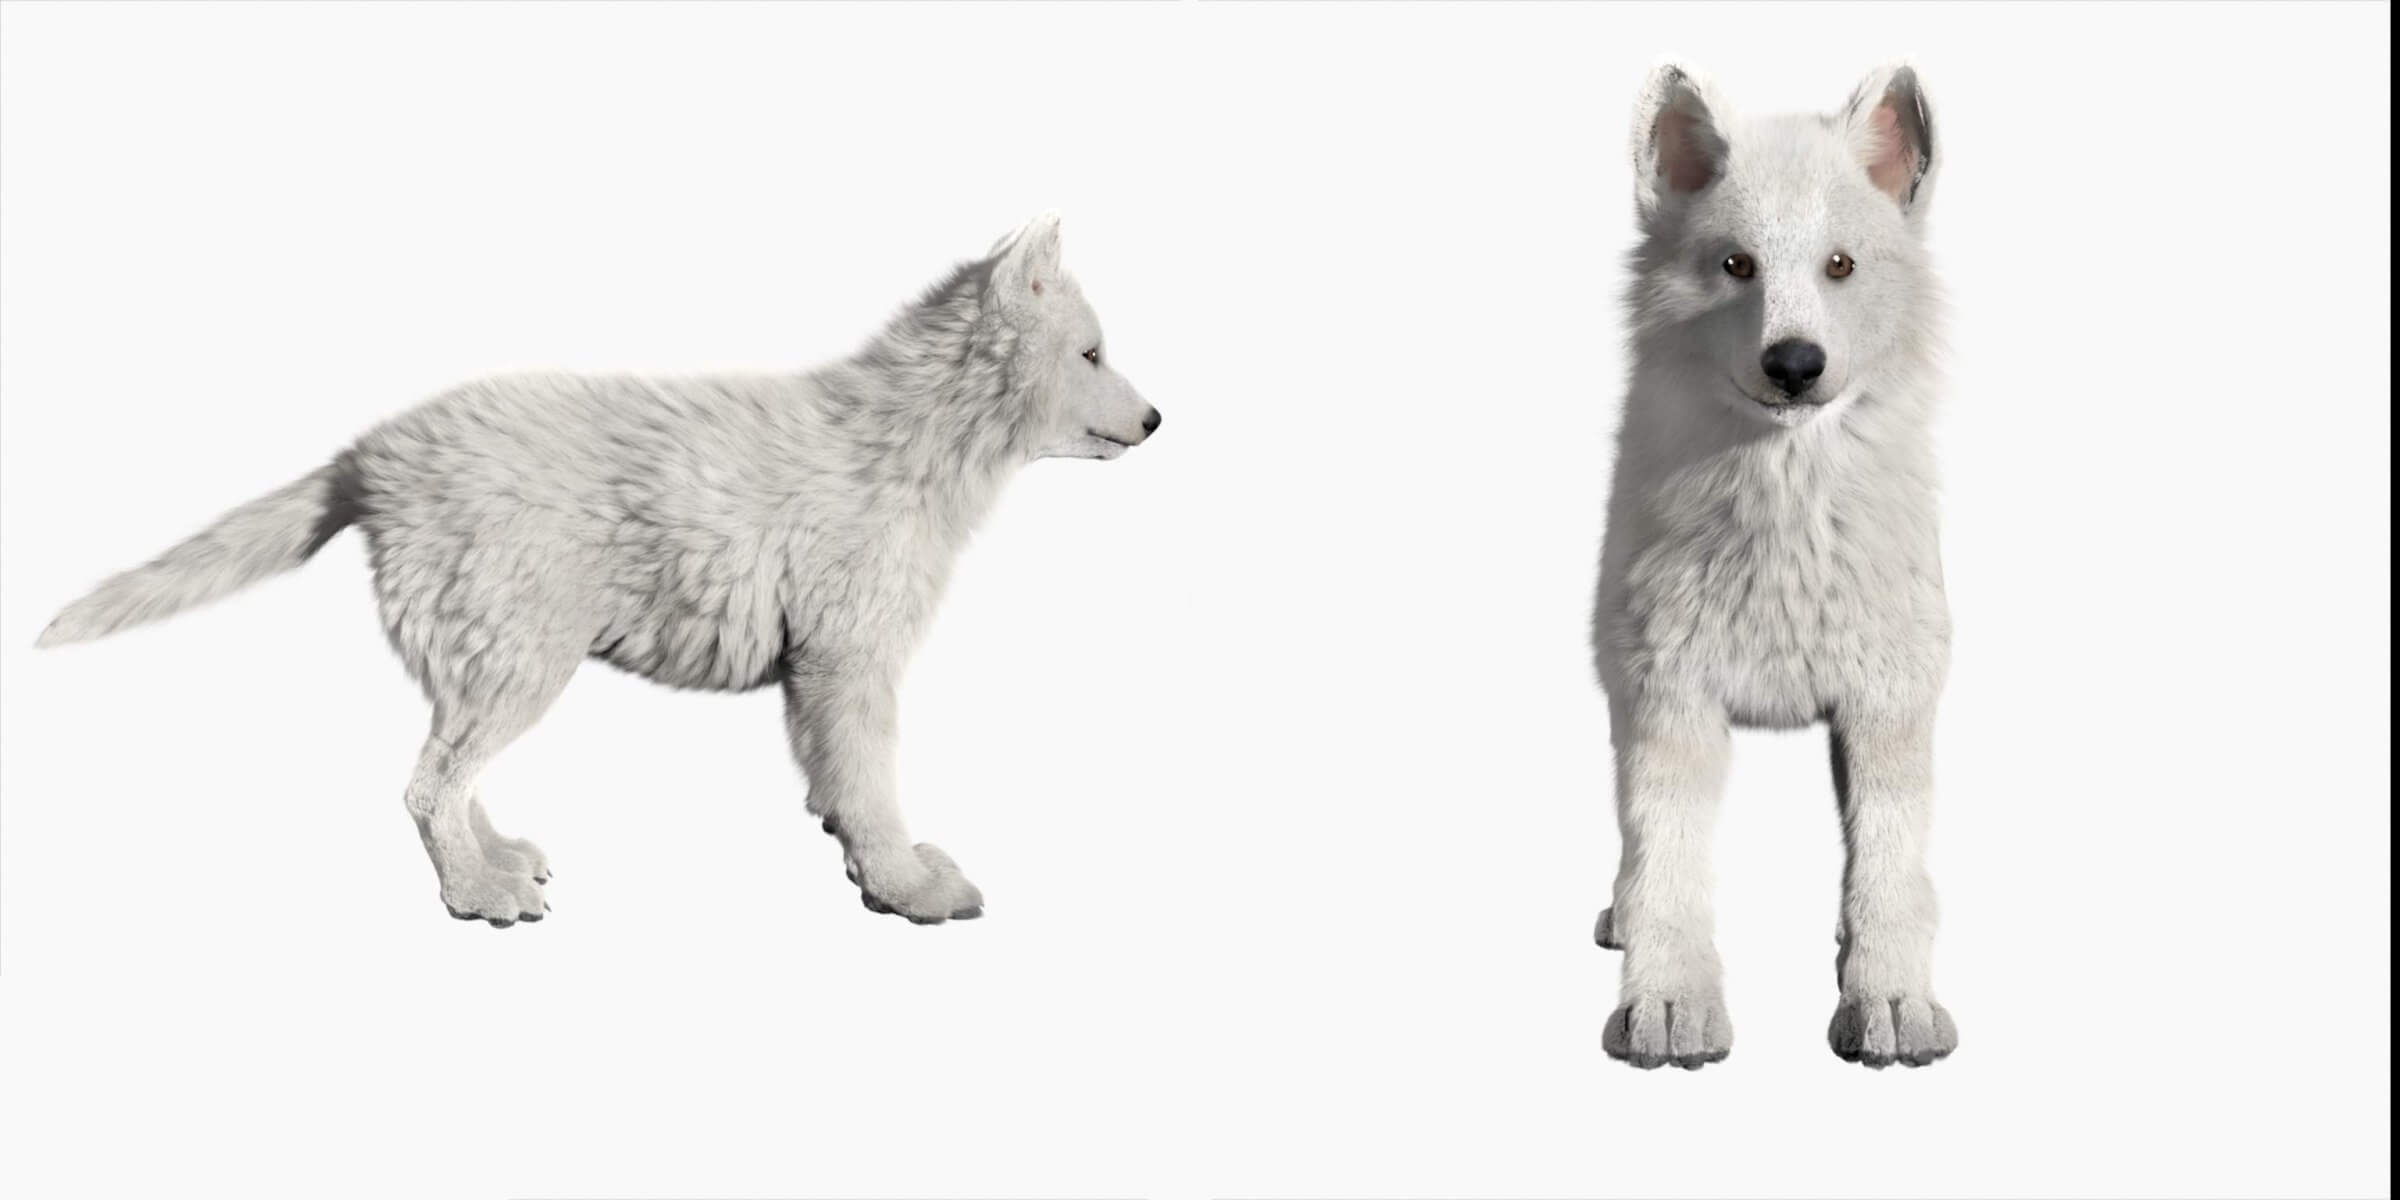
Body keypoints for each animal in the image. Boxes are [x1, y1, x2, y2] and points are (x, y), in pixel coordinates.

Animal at [37, 213, 1160, 929]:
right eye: (1093, 354)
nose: (1157, 419)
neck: (909, 442)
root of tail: (375, 451)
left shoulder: (817, 672)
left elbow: (837, 781)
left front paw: (853, 851)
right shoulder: (850, 660)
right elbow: (876, 785)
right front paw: (906, 887)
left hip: (489, 664)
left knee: (448, 781)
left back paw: (497, 860)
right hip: (521, 660)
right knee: (426, 787)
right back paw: (478, 898)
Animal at [1590, 63, 1954, 1069]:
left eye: (1840, 266)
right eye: (1736, 266)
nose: (1794, 363)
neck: (1787, 521)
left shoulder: (1886, 703)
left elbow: (1887, 869)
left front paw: (1891, 1000)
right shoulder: (1670, 699)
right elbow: (1668, 867)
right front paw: (1668, 1005)